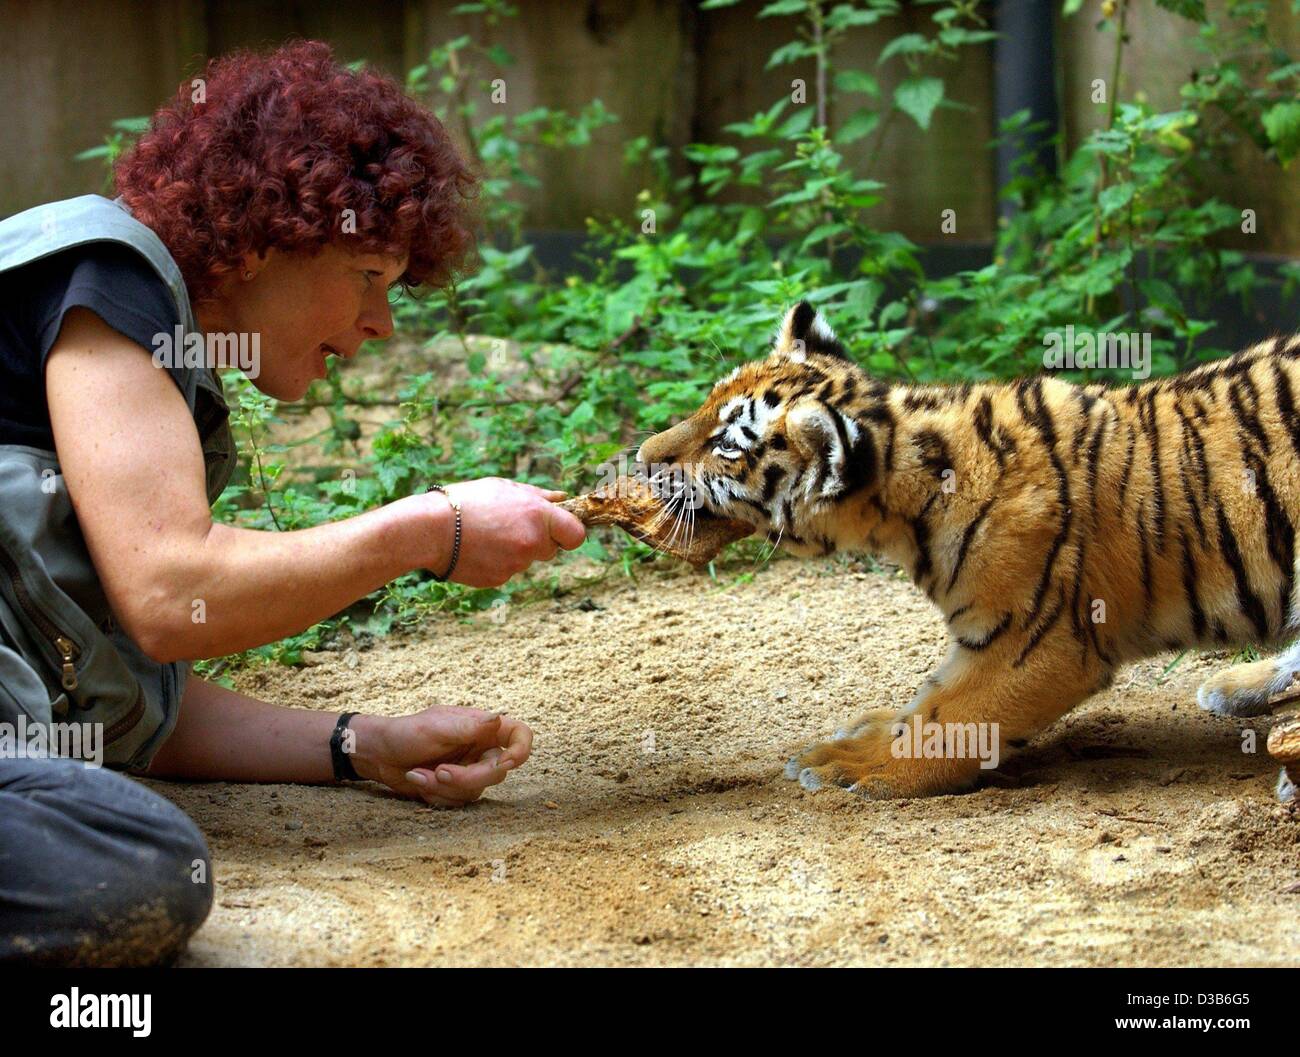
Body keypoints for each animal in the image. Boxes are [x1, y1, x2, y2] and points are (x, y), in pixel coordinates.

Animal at [635, 300, 1300, 802]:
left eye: (725, 445)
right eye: (705, 405)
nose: (640, 457)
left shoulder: (1036, 644)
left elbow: (951, 721)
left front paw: (860, 769)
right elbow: (928, 700)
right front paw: (863, 737)